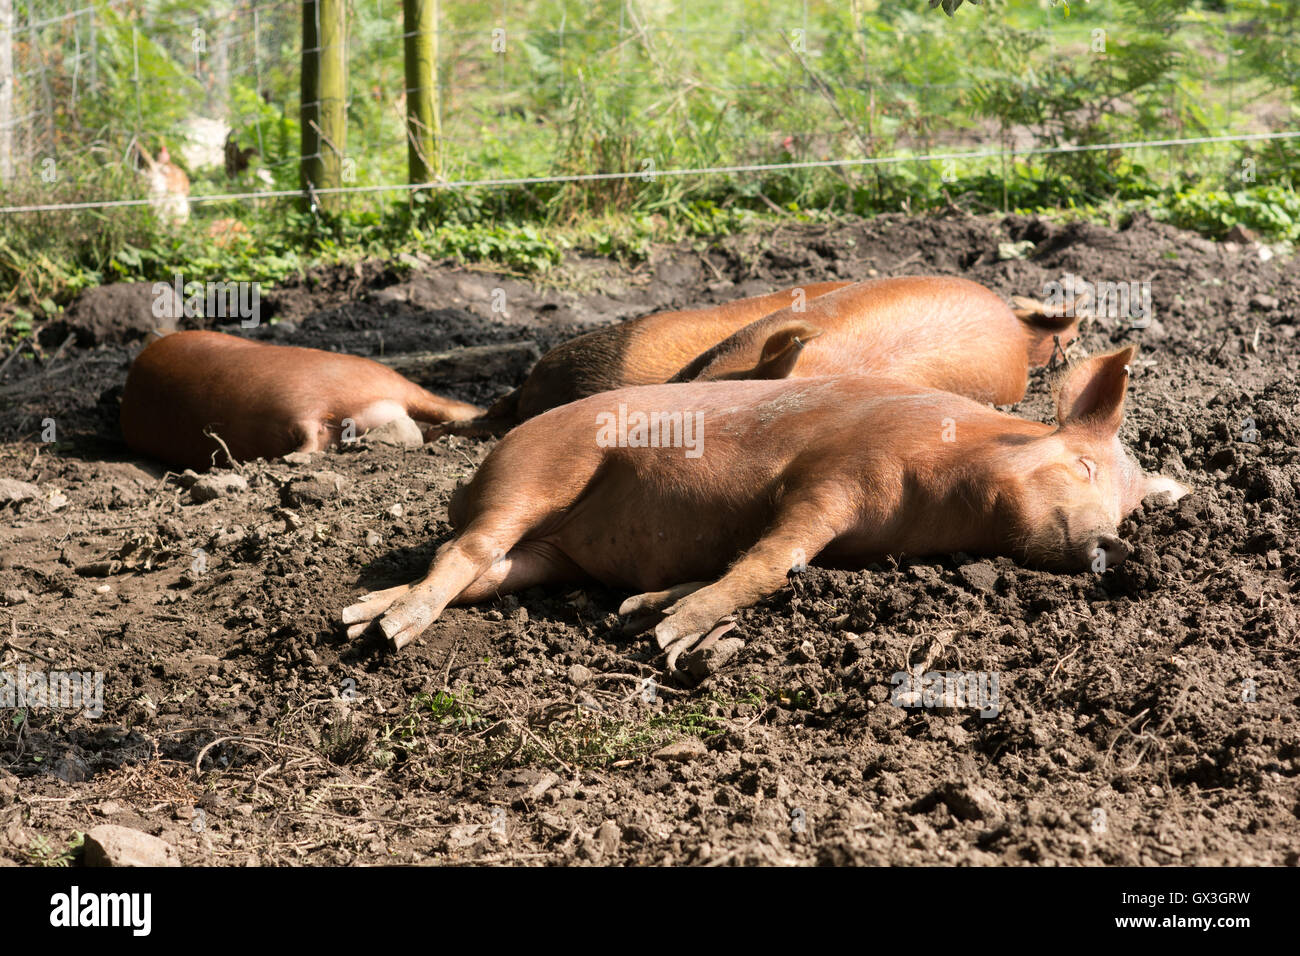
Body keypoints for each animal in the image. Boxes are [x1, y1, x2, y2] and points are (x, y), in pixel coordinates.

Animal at [342, 346, 1186, 670]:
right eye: (1081, 464)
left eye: (1127, 509)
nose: (1121, 547)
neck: (945, 498)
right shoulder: (828, 479)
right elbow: (771, 560)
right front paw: (670, 640)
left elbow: (759, 563)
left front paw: (638, 614)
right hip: (534, 478)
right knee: (461, 551)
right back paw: (389, 635)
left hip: (544, 553)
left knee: (479, 569)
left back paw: (356, 619)